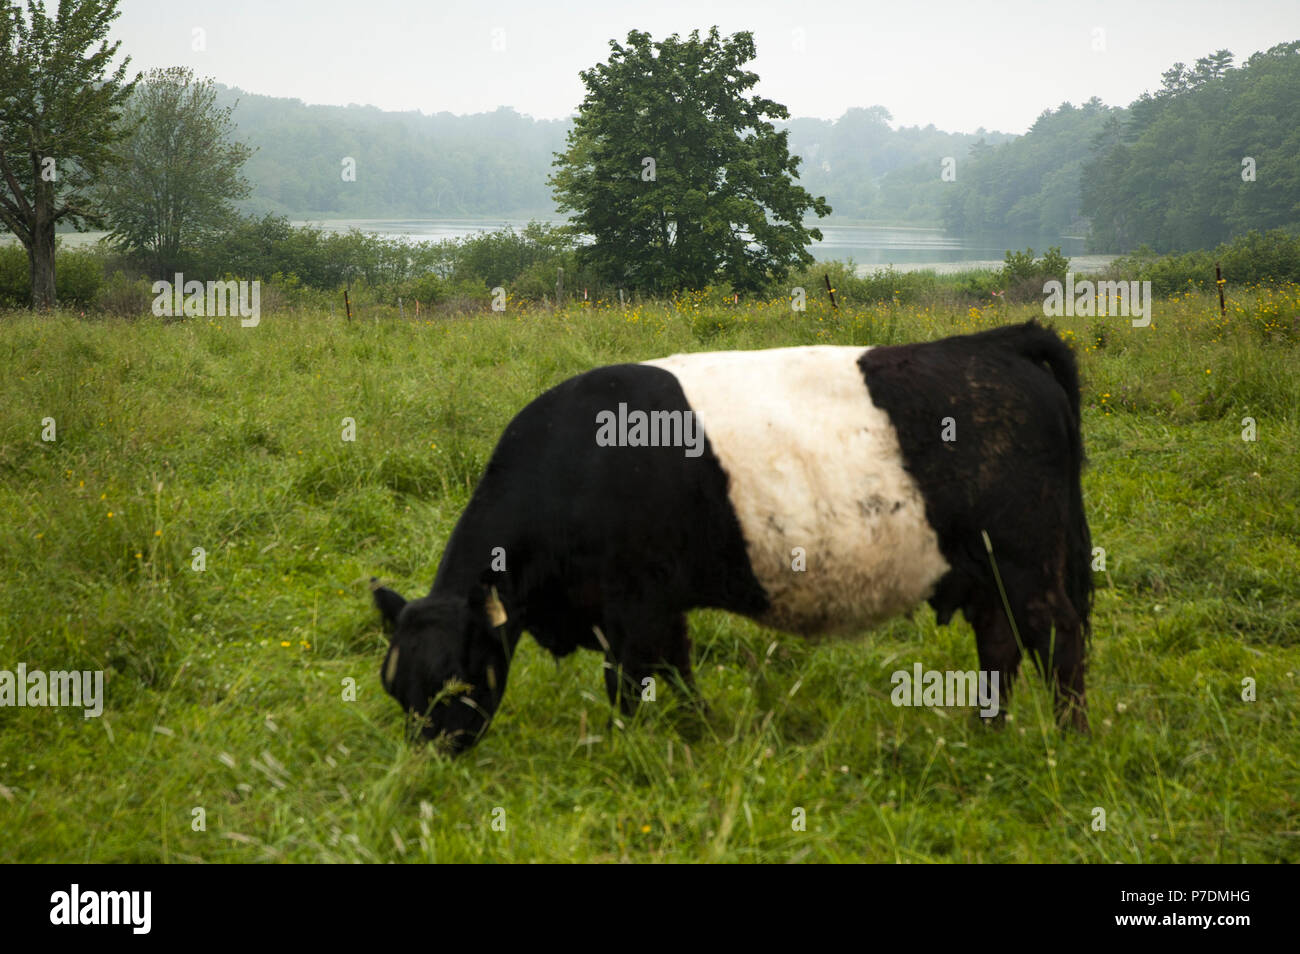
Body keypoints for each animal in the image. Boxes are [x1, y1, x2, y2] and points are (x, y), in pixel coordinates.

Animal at [372, 319, 1092, 752]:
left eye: (454, 681)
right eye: (393, 687)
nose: (429, 767)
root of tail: (998, 342)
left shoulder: (636, 605)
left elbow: (628, 683)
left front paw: (623, 749)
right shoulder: (652, 607)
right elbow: (678, 673)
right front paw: (704, 733)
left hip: (1025, 558)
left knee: (1057, 637)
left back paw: (1069, 744)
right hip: (984, 570)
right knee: (999, 645)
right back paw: (986, 734)